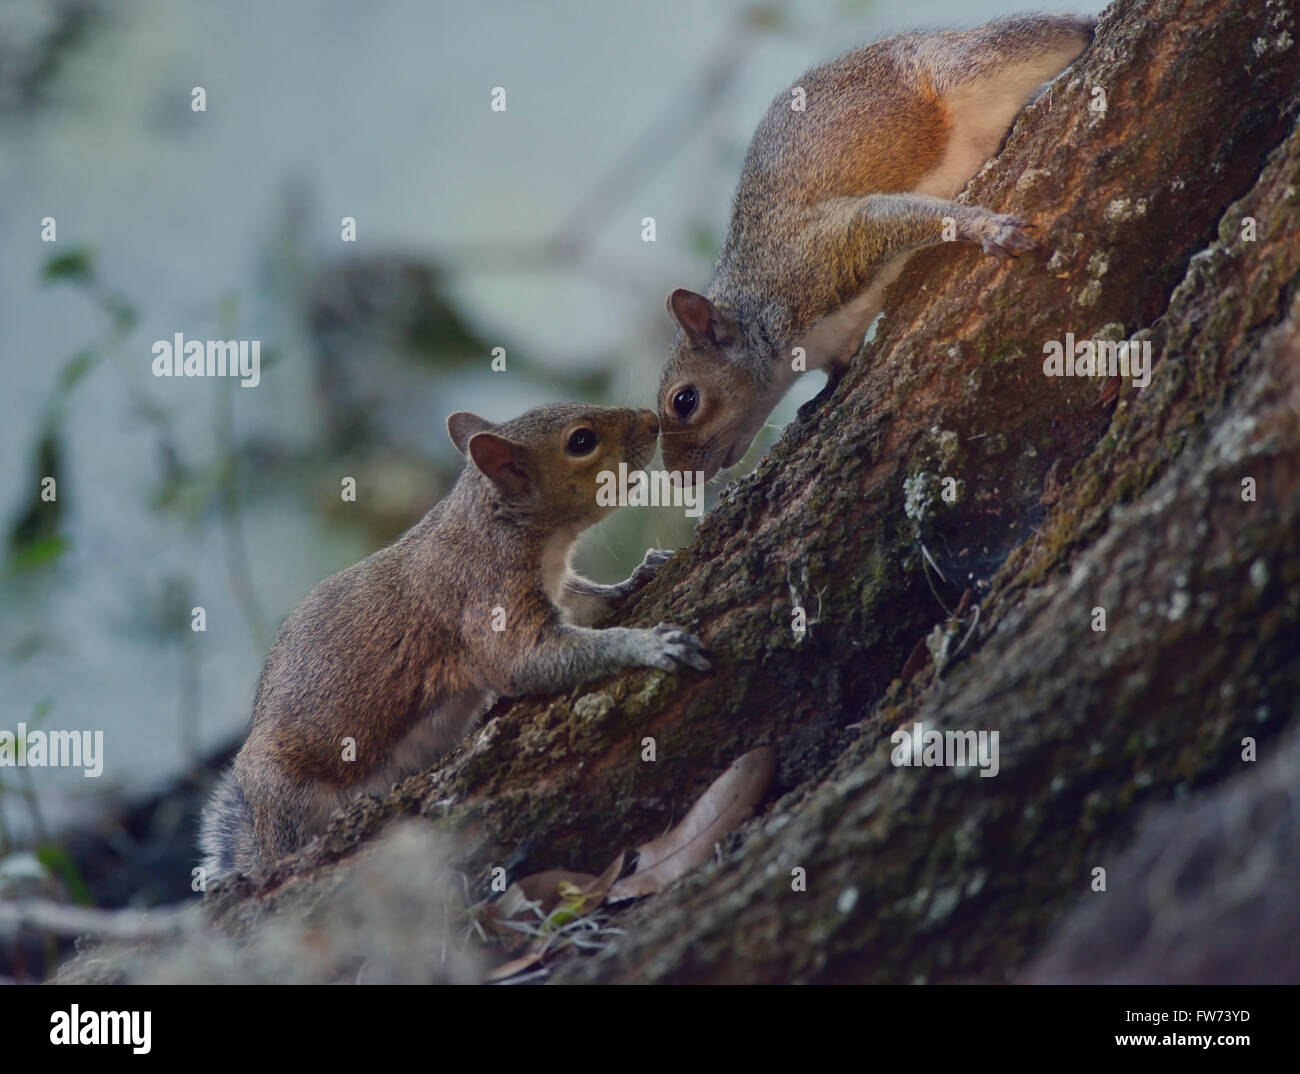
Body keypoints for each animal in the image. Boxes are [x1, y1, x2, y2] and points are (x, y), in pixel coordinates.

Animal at [200, 403, 708, 880]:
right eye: (581, 441)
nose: (651, 420)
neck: (498, 523)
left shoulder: (556, 589)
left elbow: (589, 603)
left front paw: (640, 575)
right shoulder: (488, 597)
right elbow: (524, 661)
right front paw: (649, 644)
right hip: (287, 796)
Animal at [657, 13, 1096, 481]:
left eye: (685, 401)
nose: (679, 477)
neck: (757, 310)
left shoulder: (817, 259)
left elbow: (882, 218)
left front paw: (987, 228)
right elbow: (840, 365)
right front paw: (825, 392)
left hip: (964, 69)